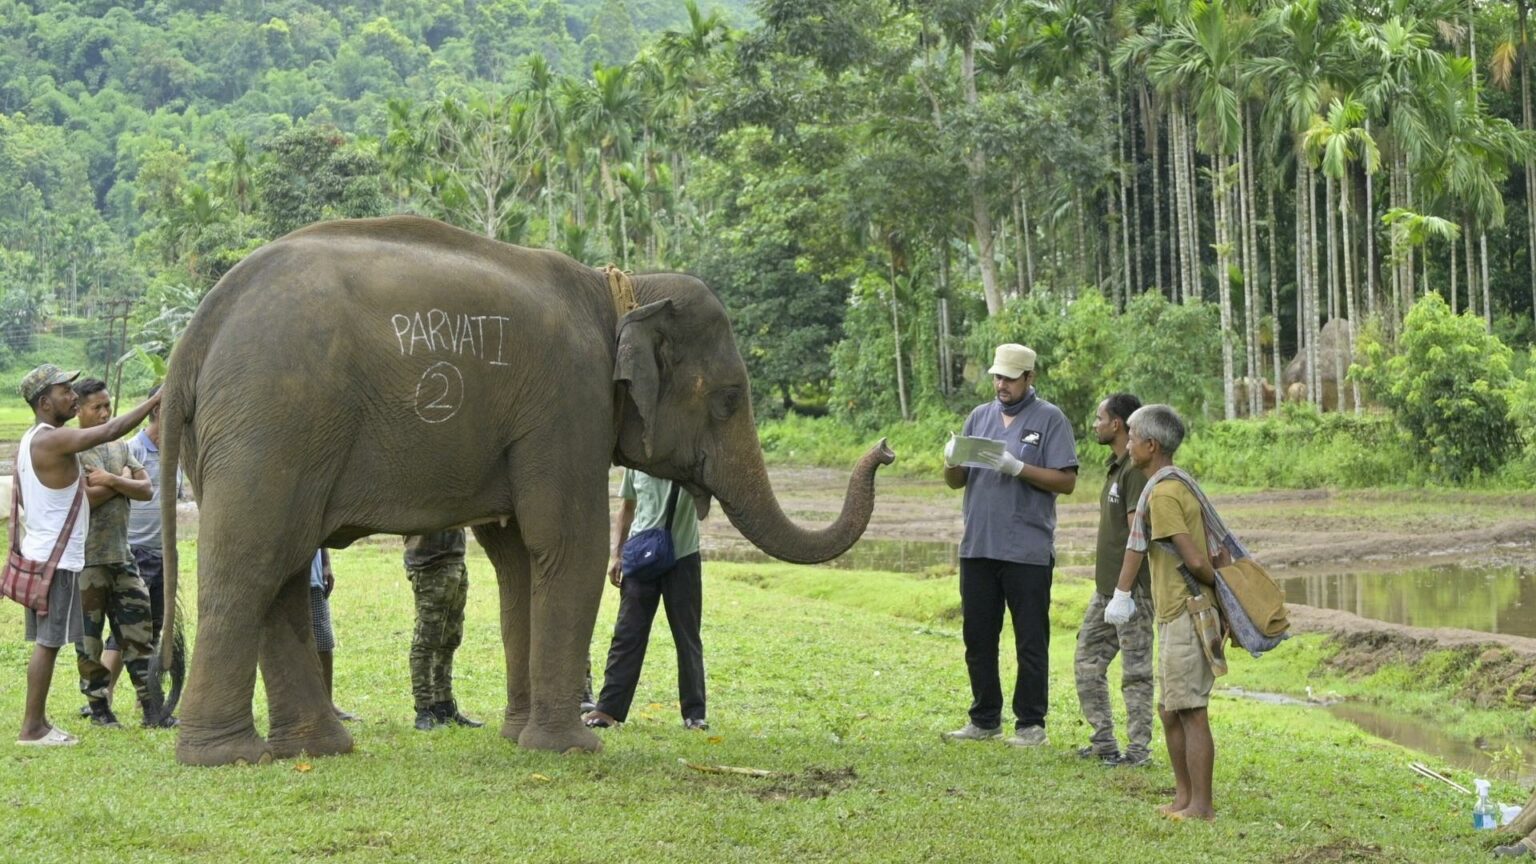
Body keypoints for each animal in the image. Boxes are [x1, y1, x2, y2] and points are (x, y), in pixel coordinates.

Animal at [157, 215, 894, 766]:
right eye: (729, 399)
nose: (884, 450)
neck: (619, 288)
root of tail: (195, 333)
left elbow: (516, 558)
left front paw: (520, 737)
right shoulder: (568, 402)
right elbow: (569, 544)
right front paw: (571, 748)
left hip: (244, 434)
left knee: (281, 570)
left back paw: (316, 751)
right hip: (273, 421)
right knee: (254, 562)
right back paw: (224, 757)